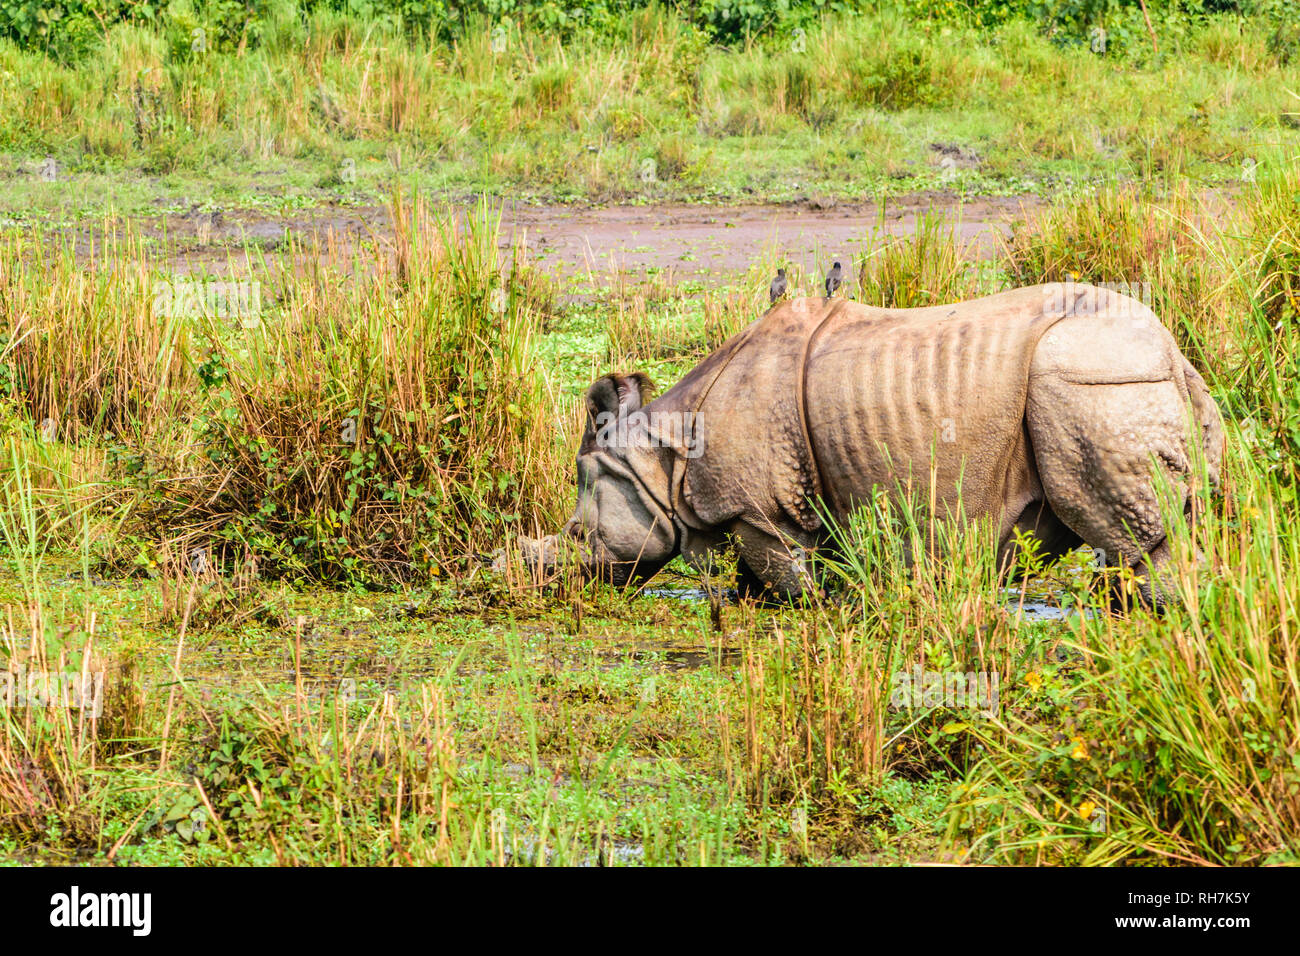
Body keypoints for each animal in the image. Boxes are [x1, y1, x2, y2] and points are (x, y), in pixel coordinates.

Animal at [543, 283, 1224, 607]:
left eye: (577, 532)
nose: (534, 573)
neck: (662, 455)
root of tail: (1173, 353)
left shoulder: (760, 510)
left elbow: (786, 578)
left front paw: (819, 606)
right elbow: (757, 582)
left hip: (1089, 381)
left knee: (1135, 536)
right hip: (1134, 382)